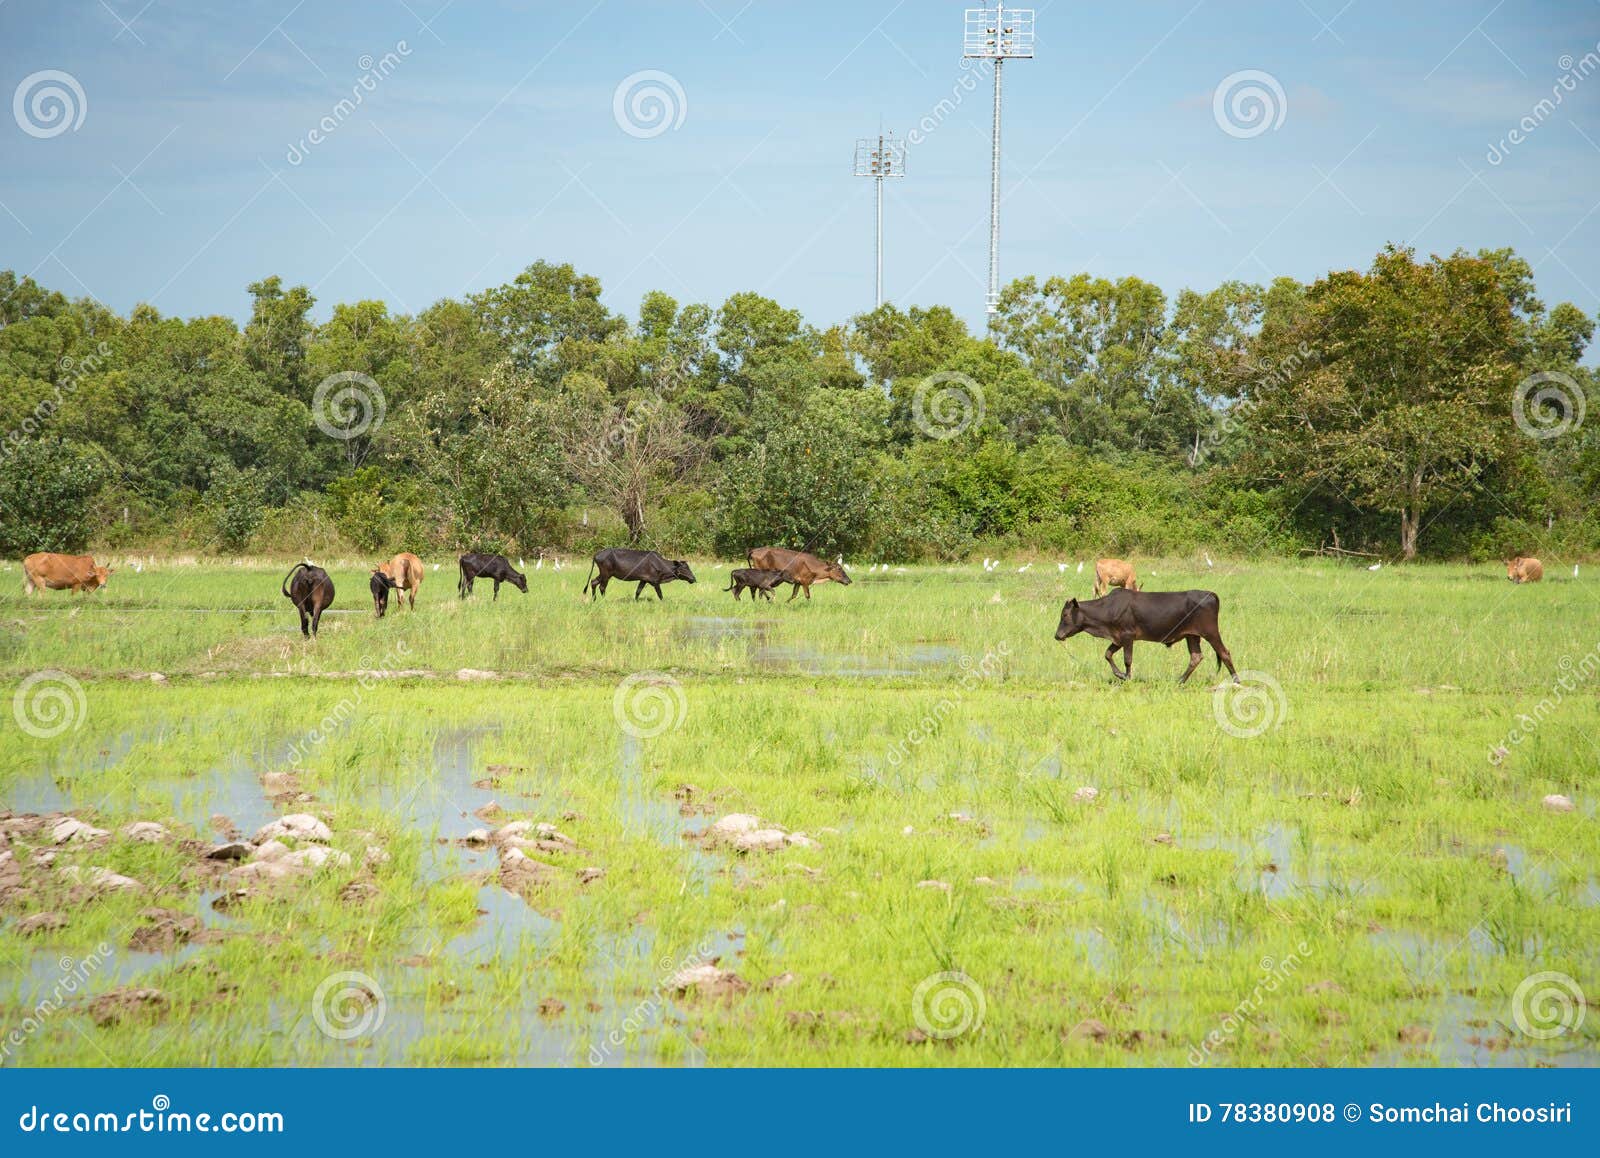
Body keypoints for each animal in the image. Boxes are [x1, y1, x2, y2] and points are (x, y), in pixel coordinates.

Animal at [1055, 588, 1238, 684]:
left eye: (1065, 615)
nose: (1057, 635)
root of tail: (1210, 593)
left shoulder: (1127, 635)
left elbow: (1127, 659)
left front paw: (1127, 677)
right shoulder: (1118, 638)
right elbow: (1108, 654)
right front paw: (1120, 675)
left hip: (1210, 632)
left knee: (1224, 653)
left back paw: (1236, 681)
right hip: (1191, 635)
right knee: (1196, 657)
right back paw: (1180, 680)